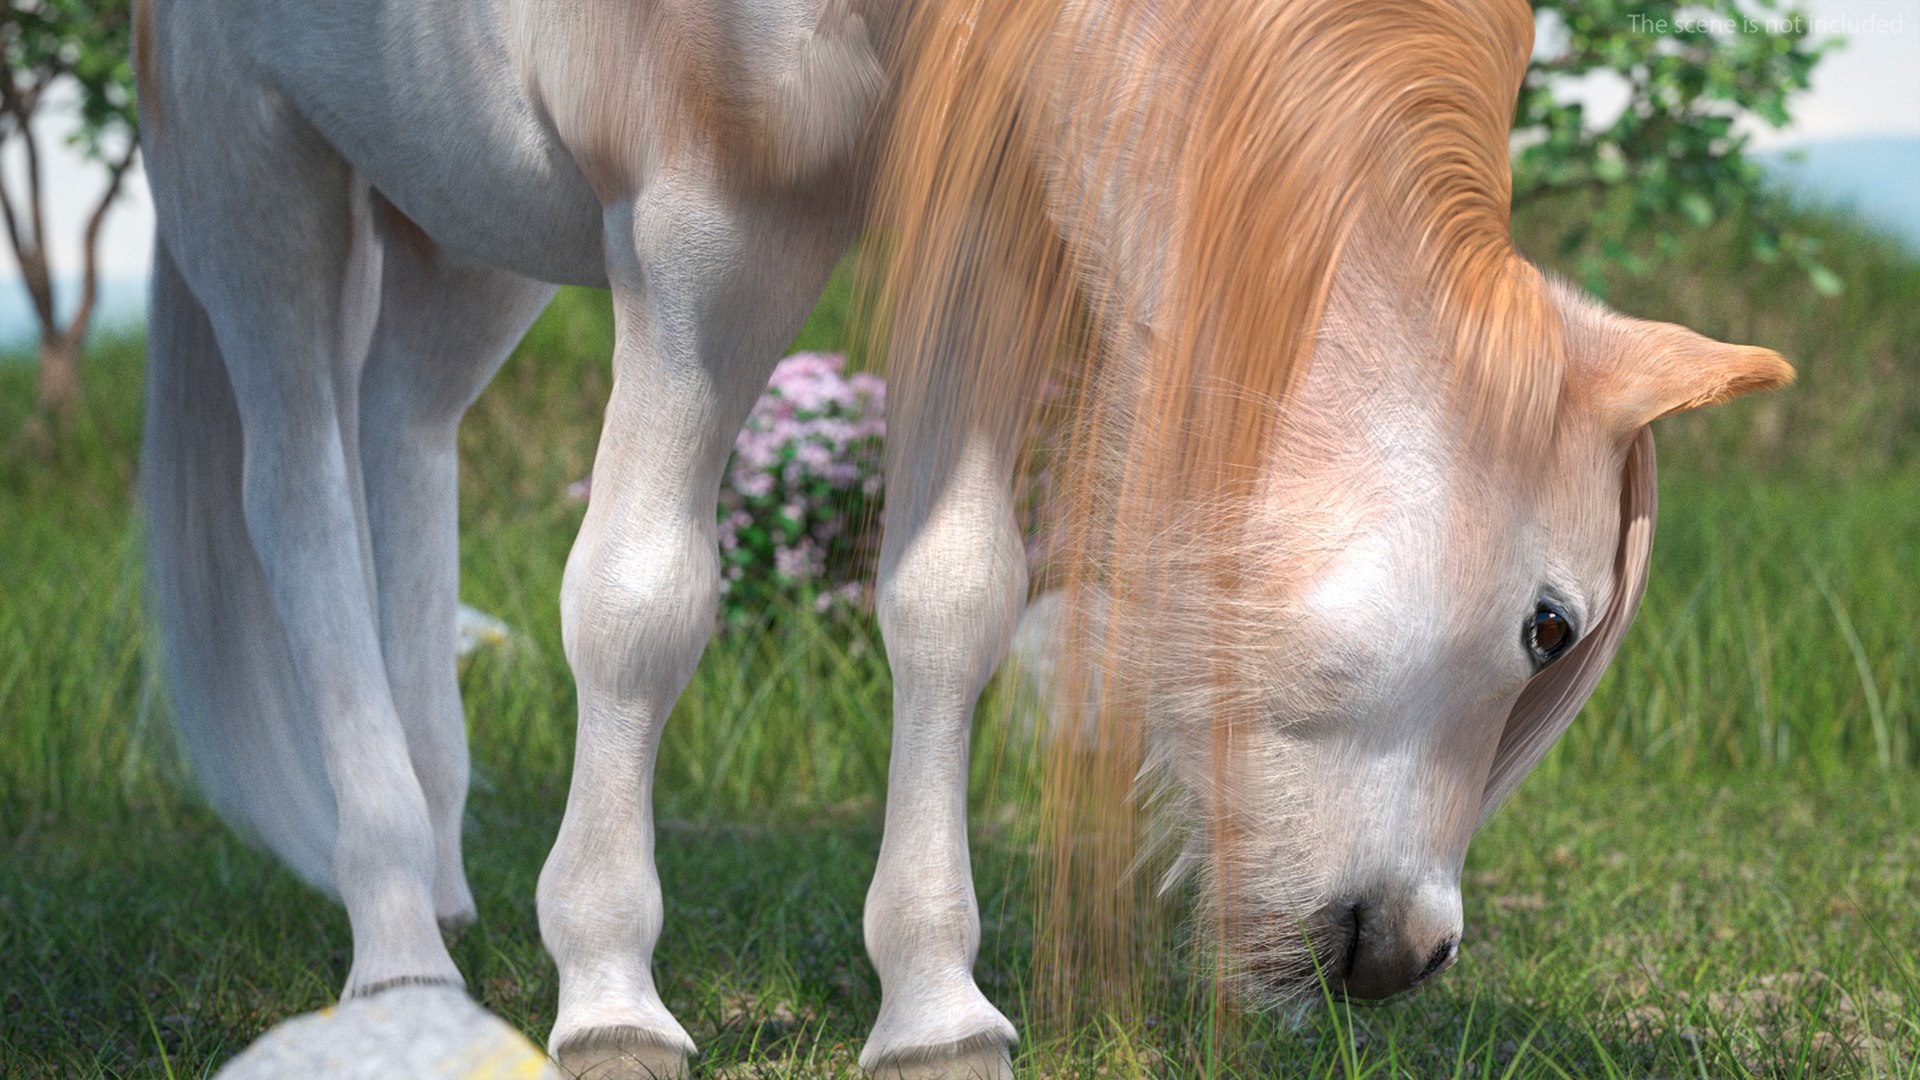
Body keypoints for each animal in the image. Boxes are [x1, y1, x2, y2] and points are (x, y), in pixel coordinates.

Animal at [133, 0, 1792, 1075]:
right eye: (1548, 624)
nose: (1405, 957)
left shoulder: (989, 230)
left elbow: (952, 602)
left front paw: (933, 1009)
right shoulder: (701, 227)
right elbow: (640, 599)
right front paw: (609, 997)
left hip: (463, 219)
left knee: (405, 436)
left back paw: (437, 881)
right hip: (252, 163)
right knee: (299, 494)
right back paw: (395, 948)